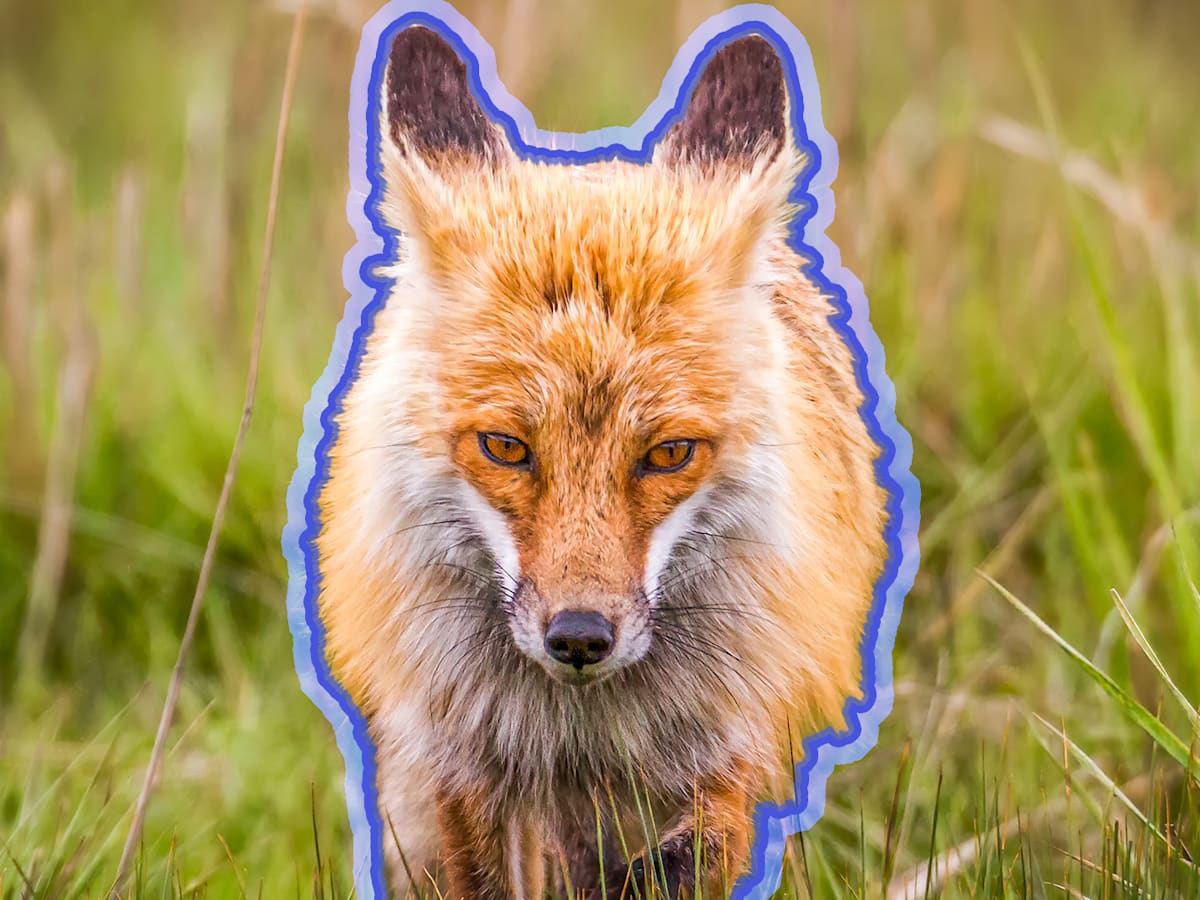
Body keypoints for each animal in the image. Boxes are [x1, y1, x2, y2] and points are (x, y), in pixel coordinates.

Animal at [315, 22, 888, 900]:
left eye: (668, 453)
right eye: (506, 447)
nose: (580, 638)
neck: (581, 734)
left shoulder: (734, 746)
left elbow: (687, 860)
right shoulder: (465, 764)